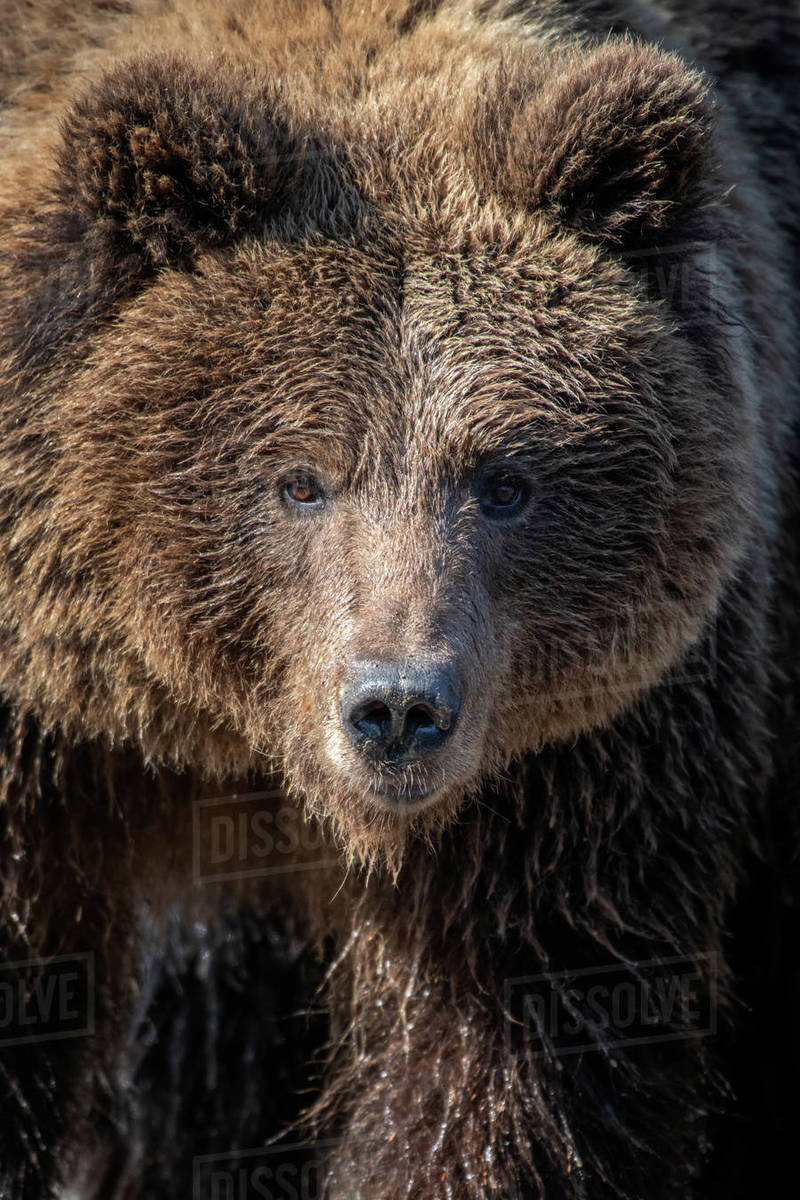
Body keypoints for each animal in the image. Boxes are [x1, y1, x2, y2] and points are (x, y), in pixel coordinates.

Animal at [0, 0, 798, 1197]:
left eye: (505, 480)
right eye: (298, 478)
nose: (397, 707)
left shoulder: (579, 760)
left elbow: (503, 1060)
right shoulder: (41, 725)